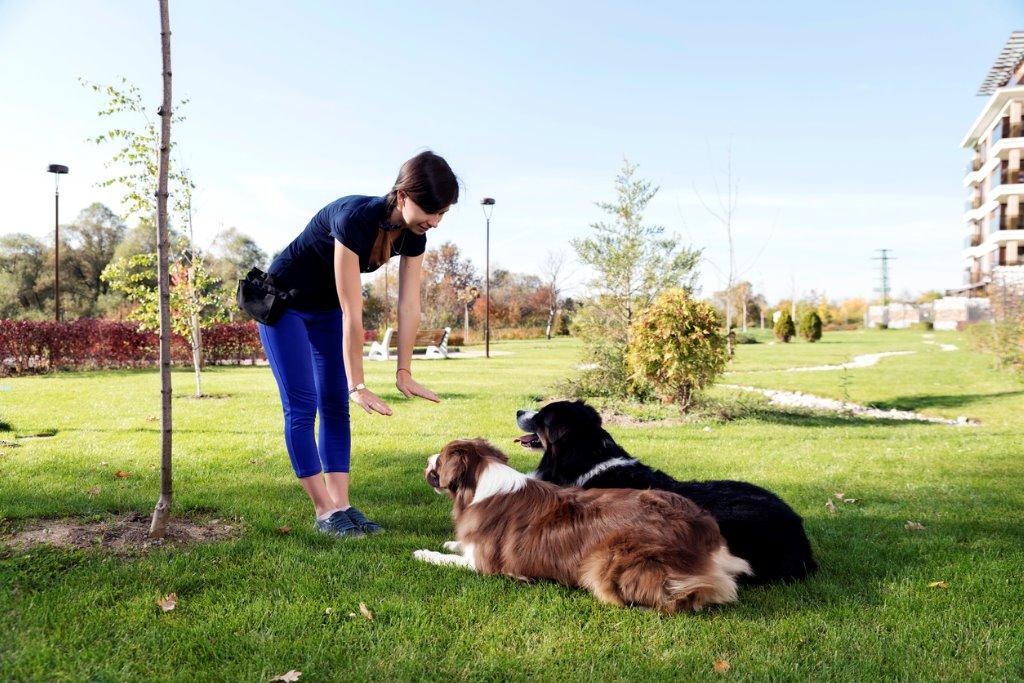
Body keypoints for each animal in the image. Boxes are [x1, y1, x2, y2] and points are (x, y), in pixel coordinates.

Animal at [413, 438, 753, 614]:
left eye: (439, 460)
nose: (427, 458)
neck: (481, 482)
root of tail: (703, 530)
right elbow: (457, 545)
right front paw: (450, 542)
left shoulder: (482, 564)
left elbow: (446, 559)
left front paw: (424, 553)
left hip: (608, 561)